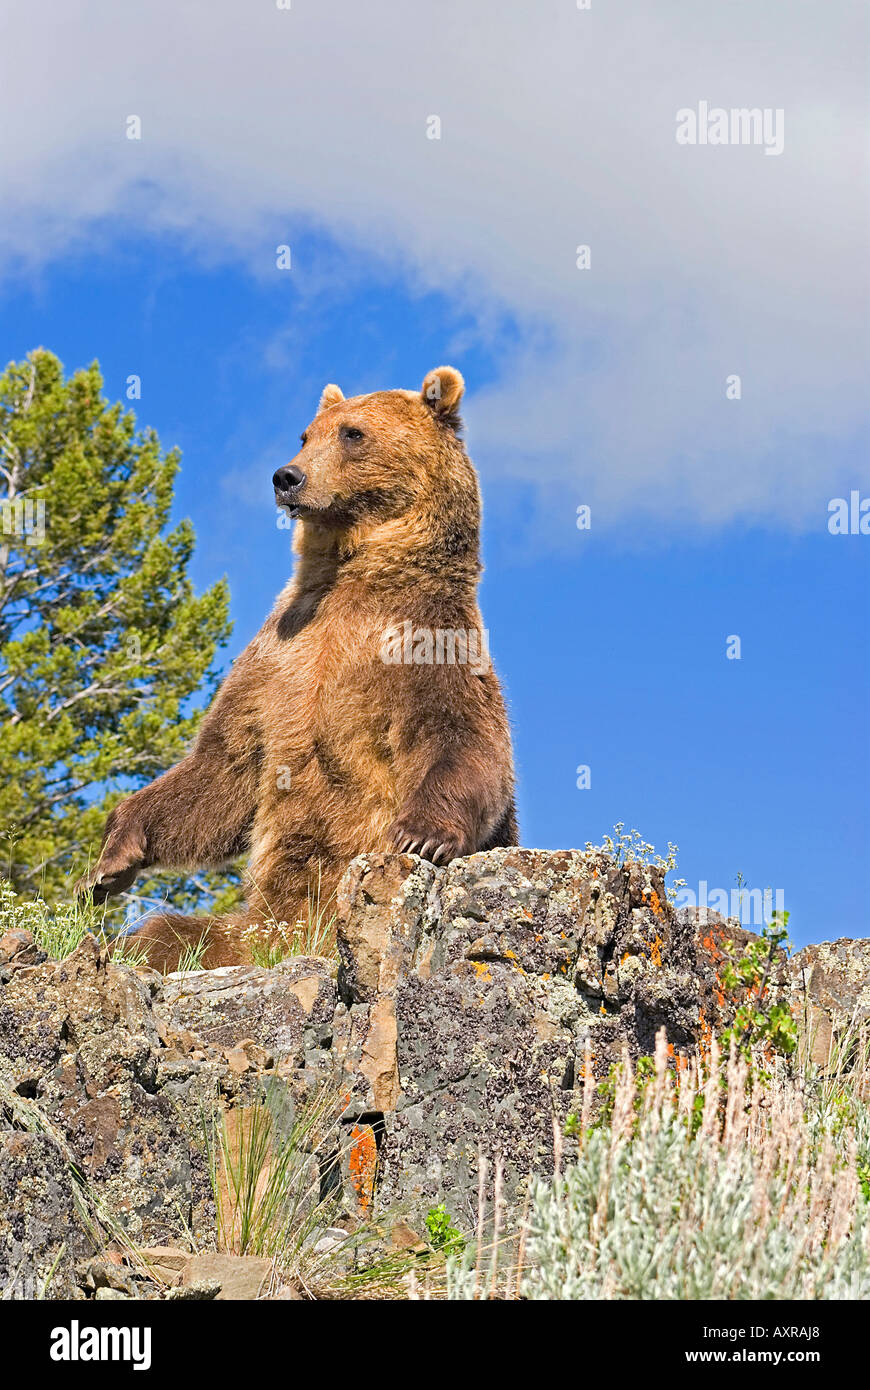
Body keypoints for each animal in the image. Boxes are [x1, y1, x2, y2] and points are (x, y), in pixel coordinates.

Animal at [77, 367, 517, 971]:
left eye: (353, 433)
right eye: (306, 434)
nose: (287, 476)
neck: (351, 577)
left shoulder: (425, 644)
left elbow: (465, 736)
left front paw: (420, 835)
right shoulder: (278, 657)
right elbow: (224, 769)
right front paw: (110, 860)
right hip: (256, 929)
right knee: (168, 934)